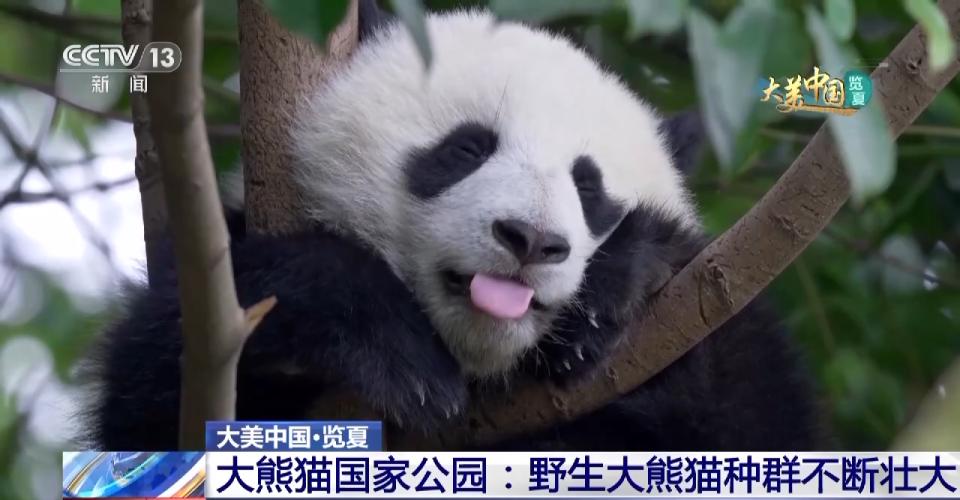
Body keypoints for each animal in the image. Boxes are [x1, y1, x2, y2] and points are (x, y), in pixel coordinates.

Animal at [83, 1, 822, 451]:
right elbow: (151, 397)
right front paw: (399, 354)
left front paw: (614, 292)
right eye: (468, 148)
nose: (530, 240)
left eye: (589, 188)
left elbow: (753, 415)